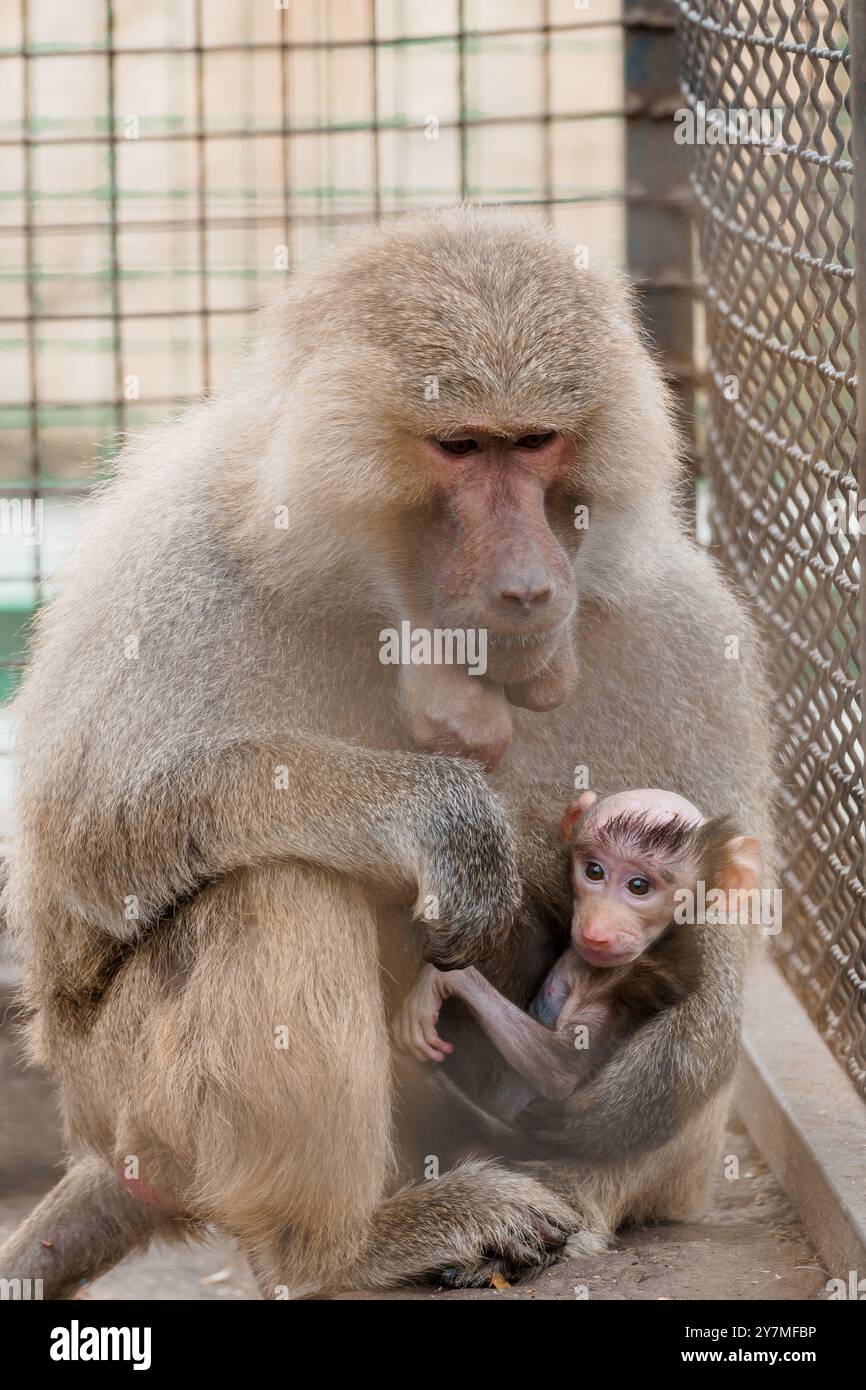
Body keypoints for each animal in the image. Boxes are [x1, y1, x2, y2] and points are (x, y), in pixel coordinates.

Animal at [394, 789, 763, 1135]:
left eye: (639, 886)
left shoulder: (626, 984)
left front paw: (443, 980)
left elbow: (561, 1071)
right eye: (594, 871)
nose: (596, 929)